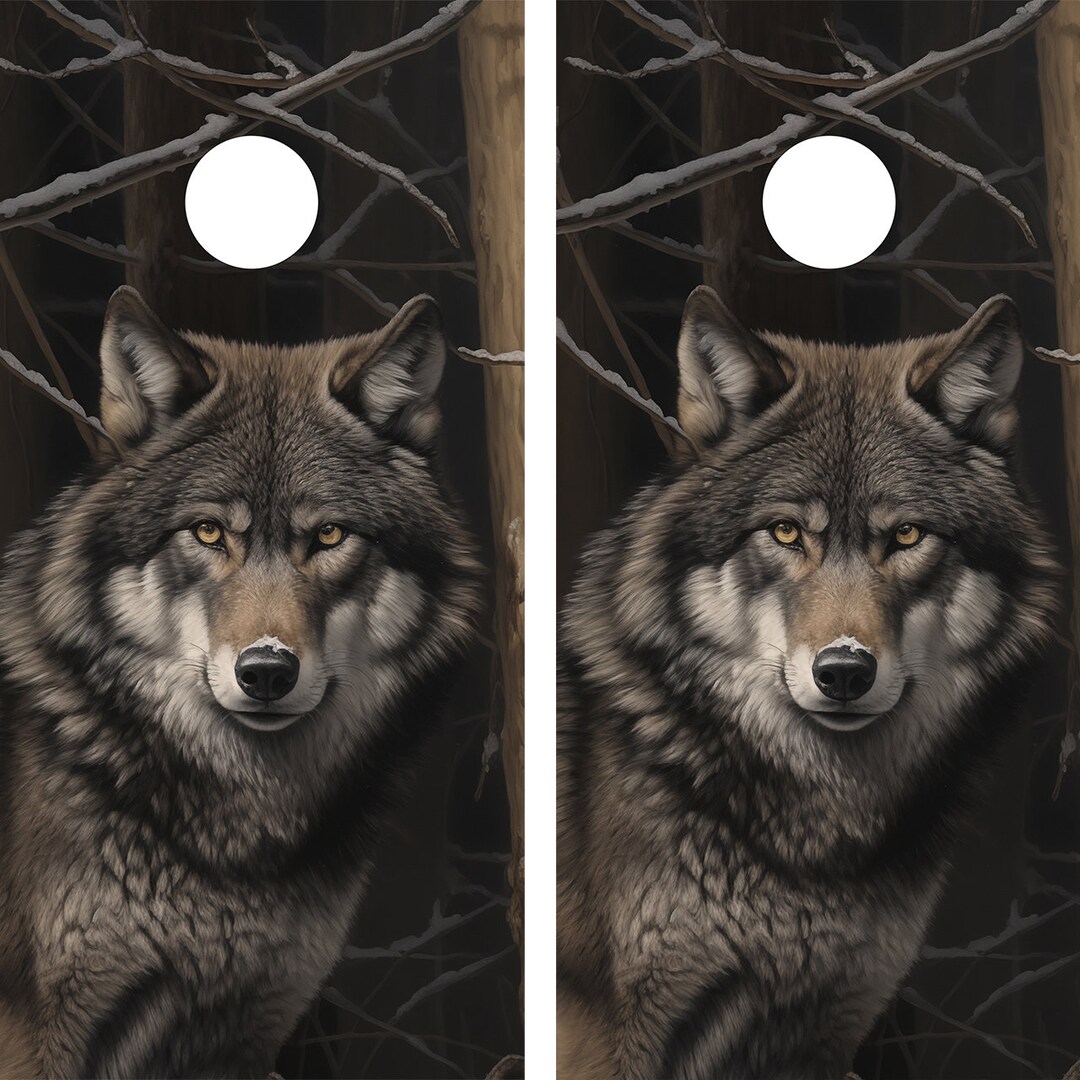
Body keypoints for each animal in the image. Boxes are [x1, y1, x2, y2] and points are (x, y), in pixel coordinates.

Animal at [557, 286, 1058, 1080]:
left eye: (907, 536)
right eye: (787, 533)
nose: (845, 671)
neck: (815, 844)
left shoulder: (827, 1030)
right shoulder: (609, 1037)